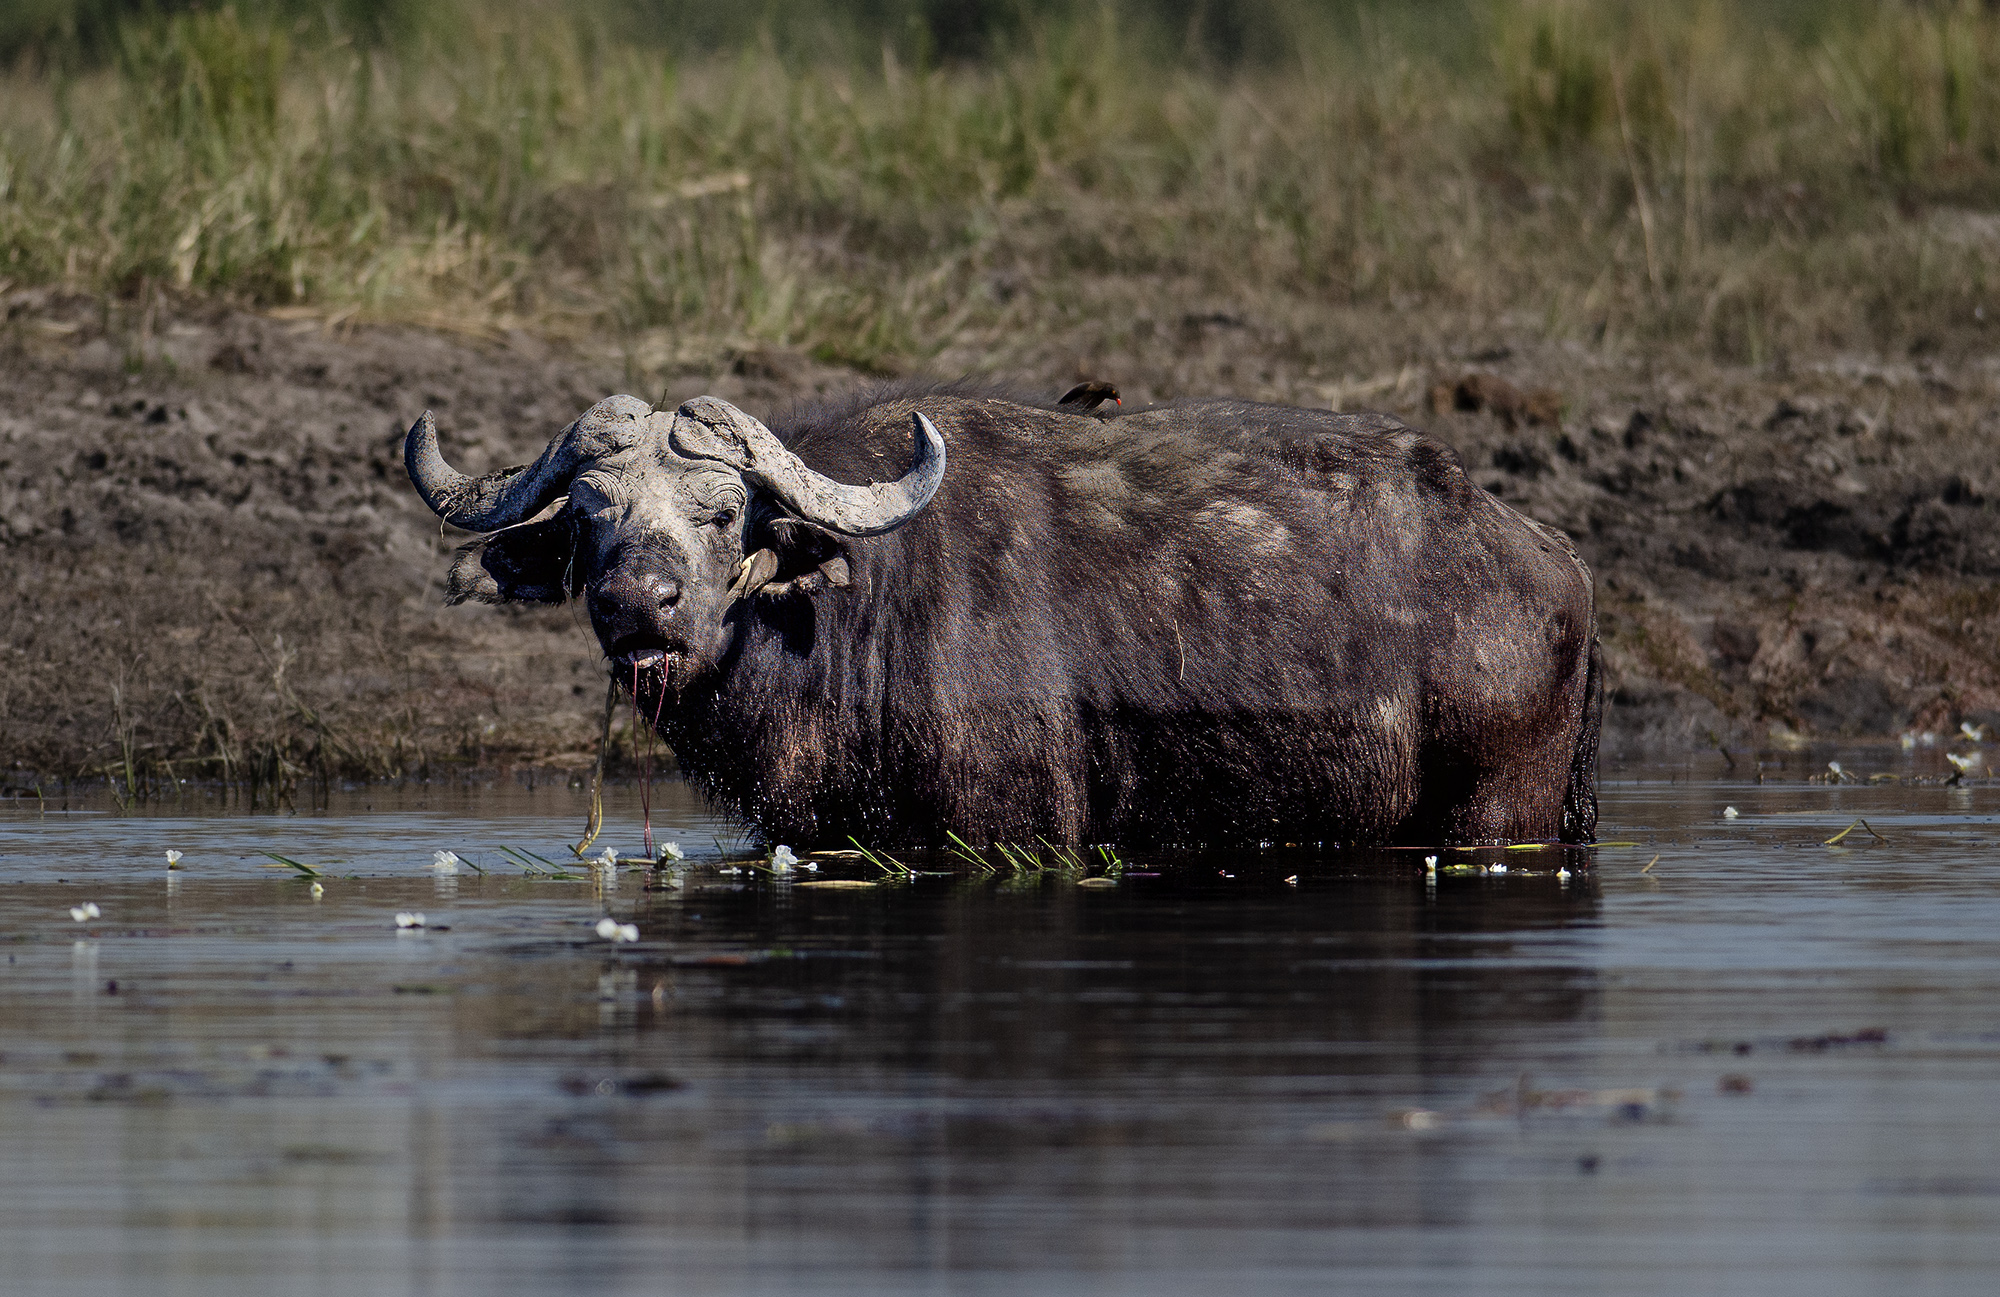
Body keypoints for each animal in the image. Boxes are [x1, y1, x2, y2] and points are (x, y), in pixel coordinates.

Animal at [405, 385, 1600, 850]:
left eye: (719, 511)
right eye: (589, 518)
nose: (635, 608)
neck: (851, 619)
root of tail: (1551, 556)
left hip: (1497, 806)